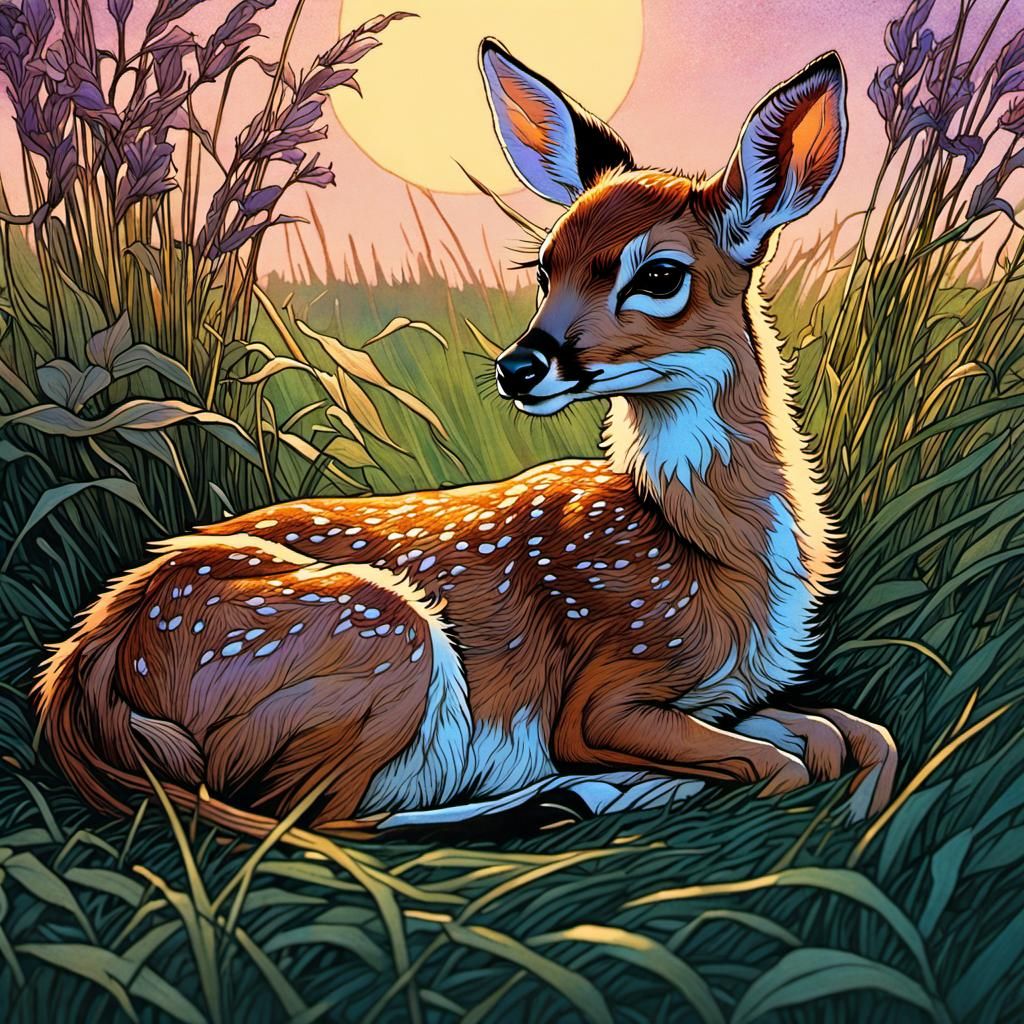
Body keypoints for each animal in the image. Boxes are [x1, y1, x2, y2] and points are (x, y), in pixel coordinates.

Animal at [36, 40, 897, 838]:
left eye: (659, 276)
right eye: (545, 267)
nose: (519, 366)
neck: (709, 549)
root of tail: (80, 666)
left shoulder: (731, 695)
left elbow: (852, 733)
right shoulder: (603, 692)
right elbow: (779, 764)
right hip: (385, 631)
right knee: (316, 817)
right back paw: (583, 795)